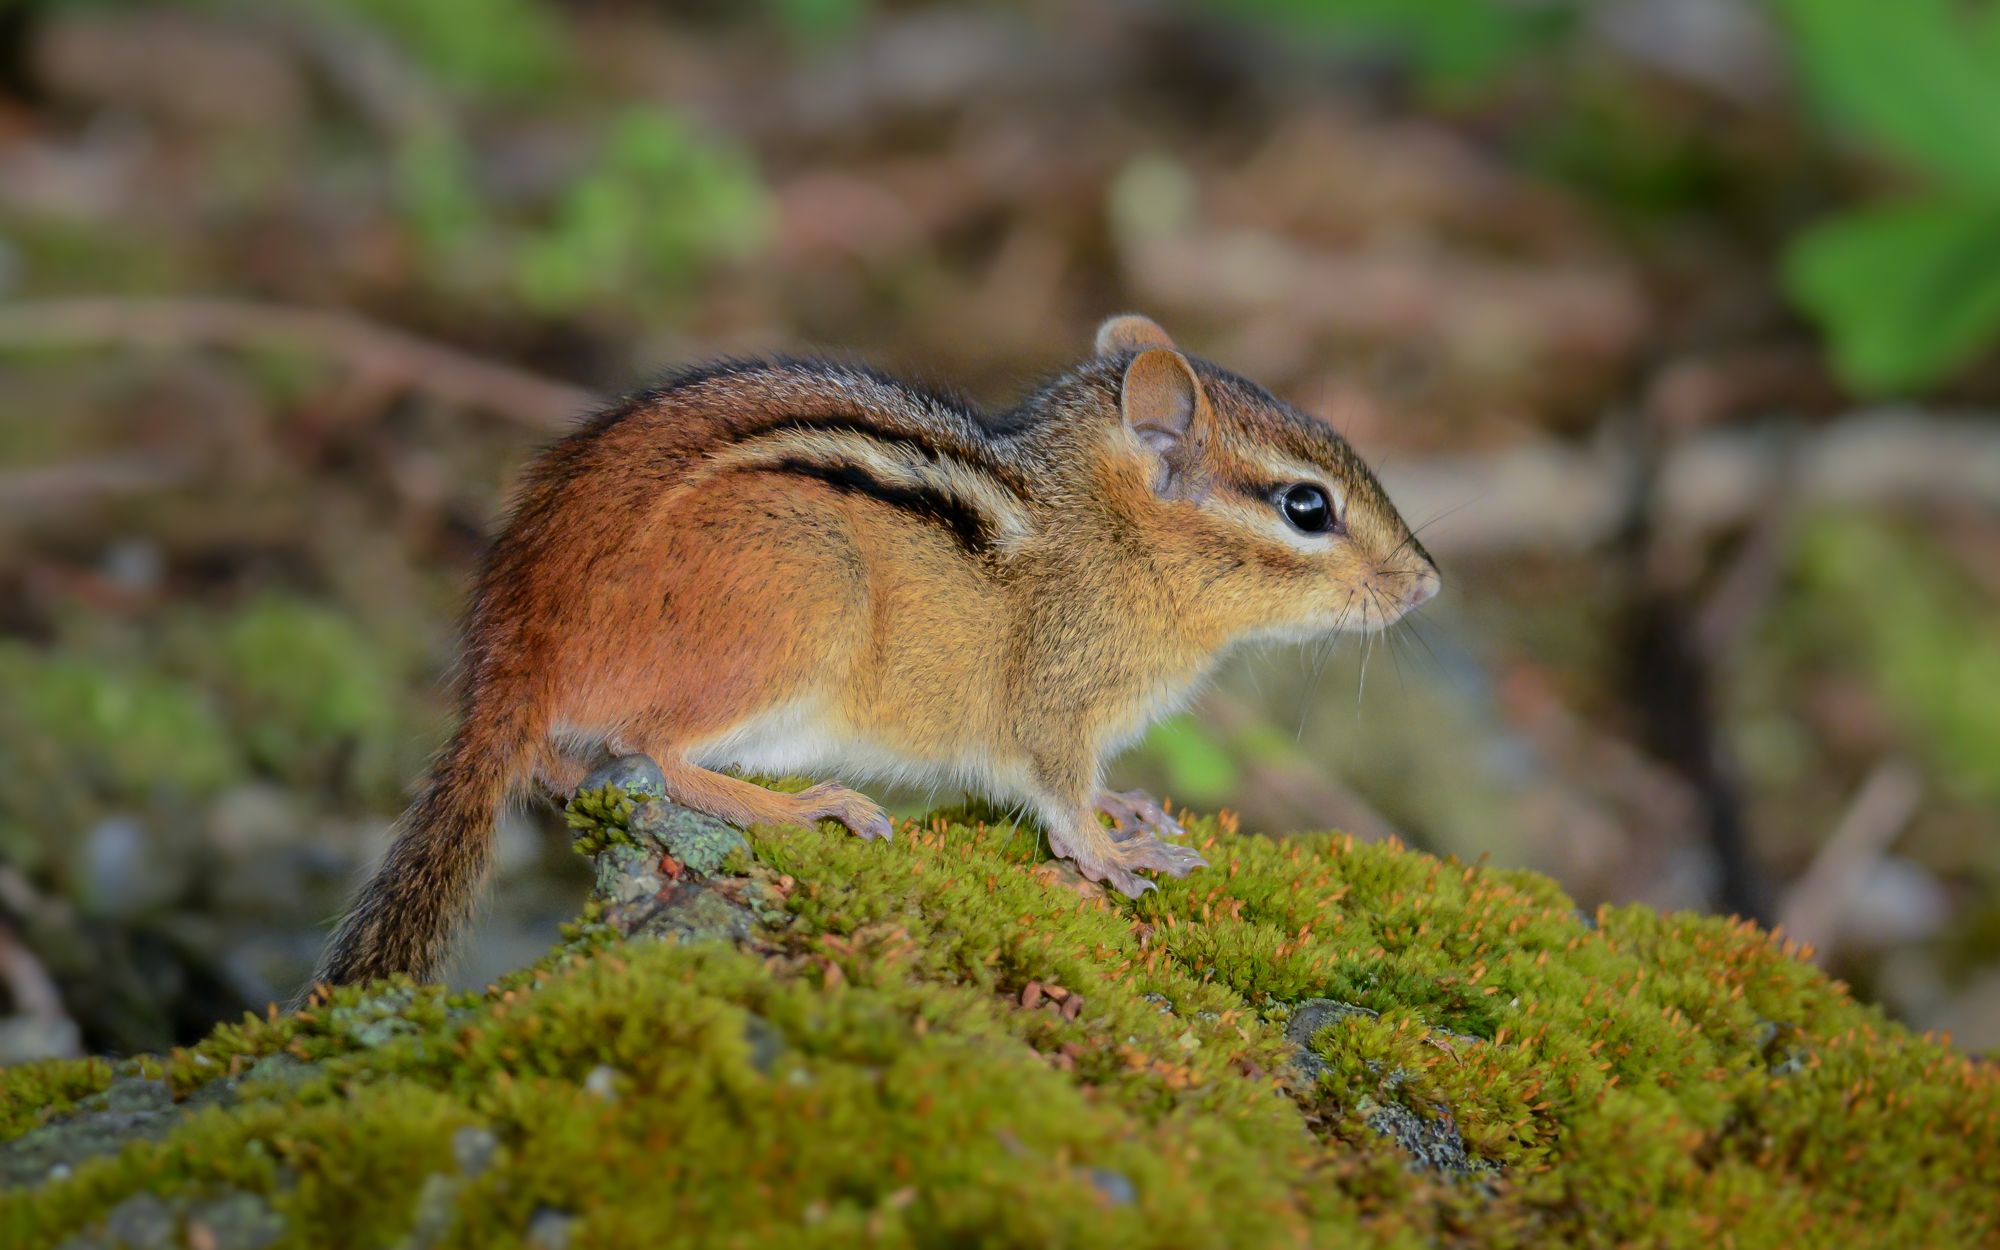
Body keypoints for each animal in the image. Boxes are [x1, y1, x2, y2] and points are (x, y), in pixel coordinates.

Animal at [309, 315, 1439, 988]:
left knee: (564, 764)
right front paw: (1112, 852)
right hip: (801, 603)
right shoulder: (1053, 707)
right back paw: (808, 806)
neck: (1105, 537)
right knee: (655, 757)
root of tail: (514, 644)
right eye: (1306, 507)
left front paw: (1132, 810)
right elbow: (1057, 796)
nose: (1427, 582)